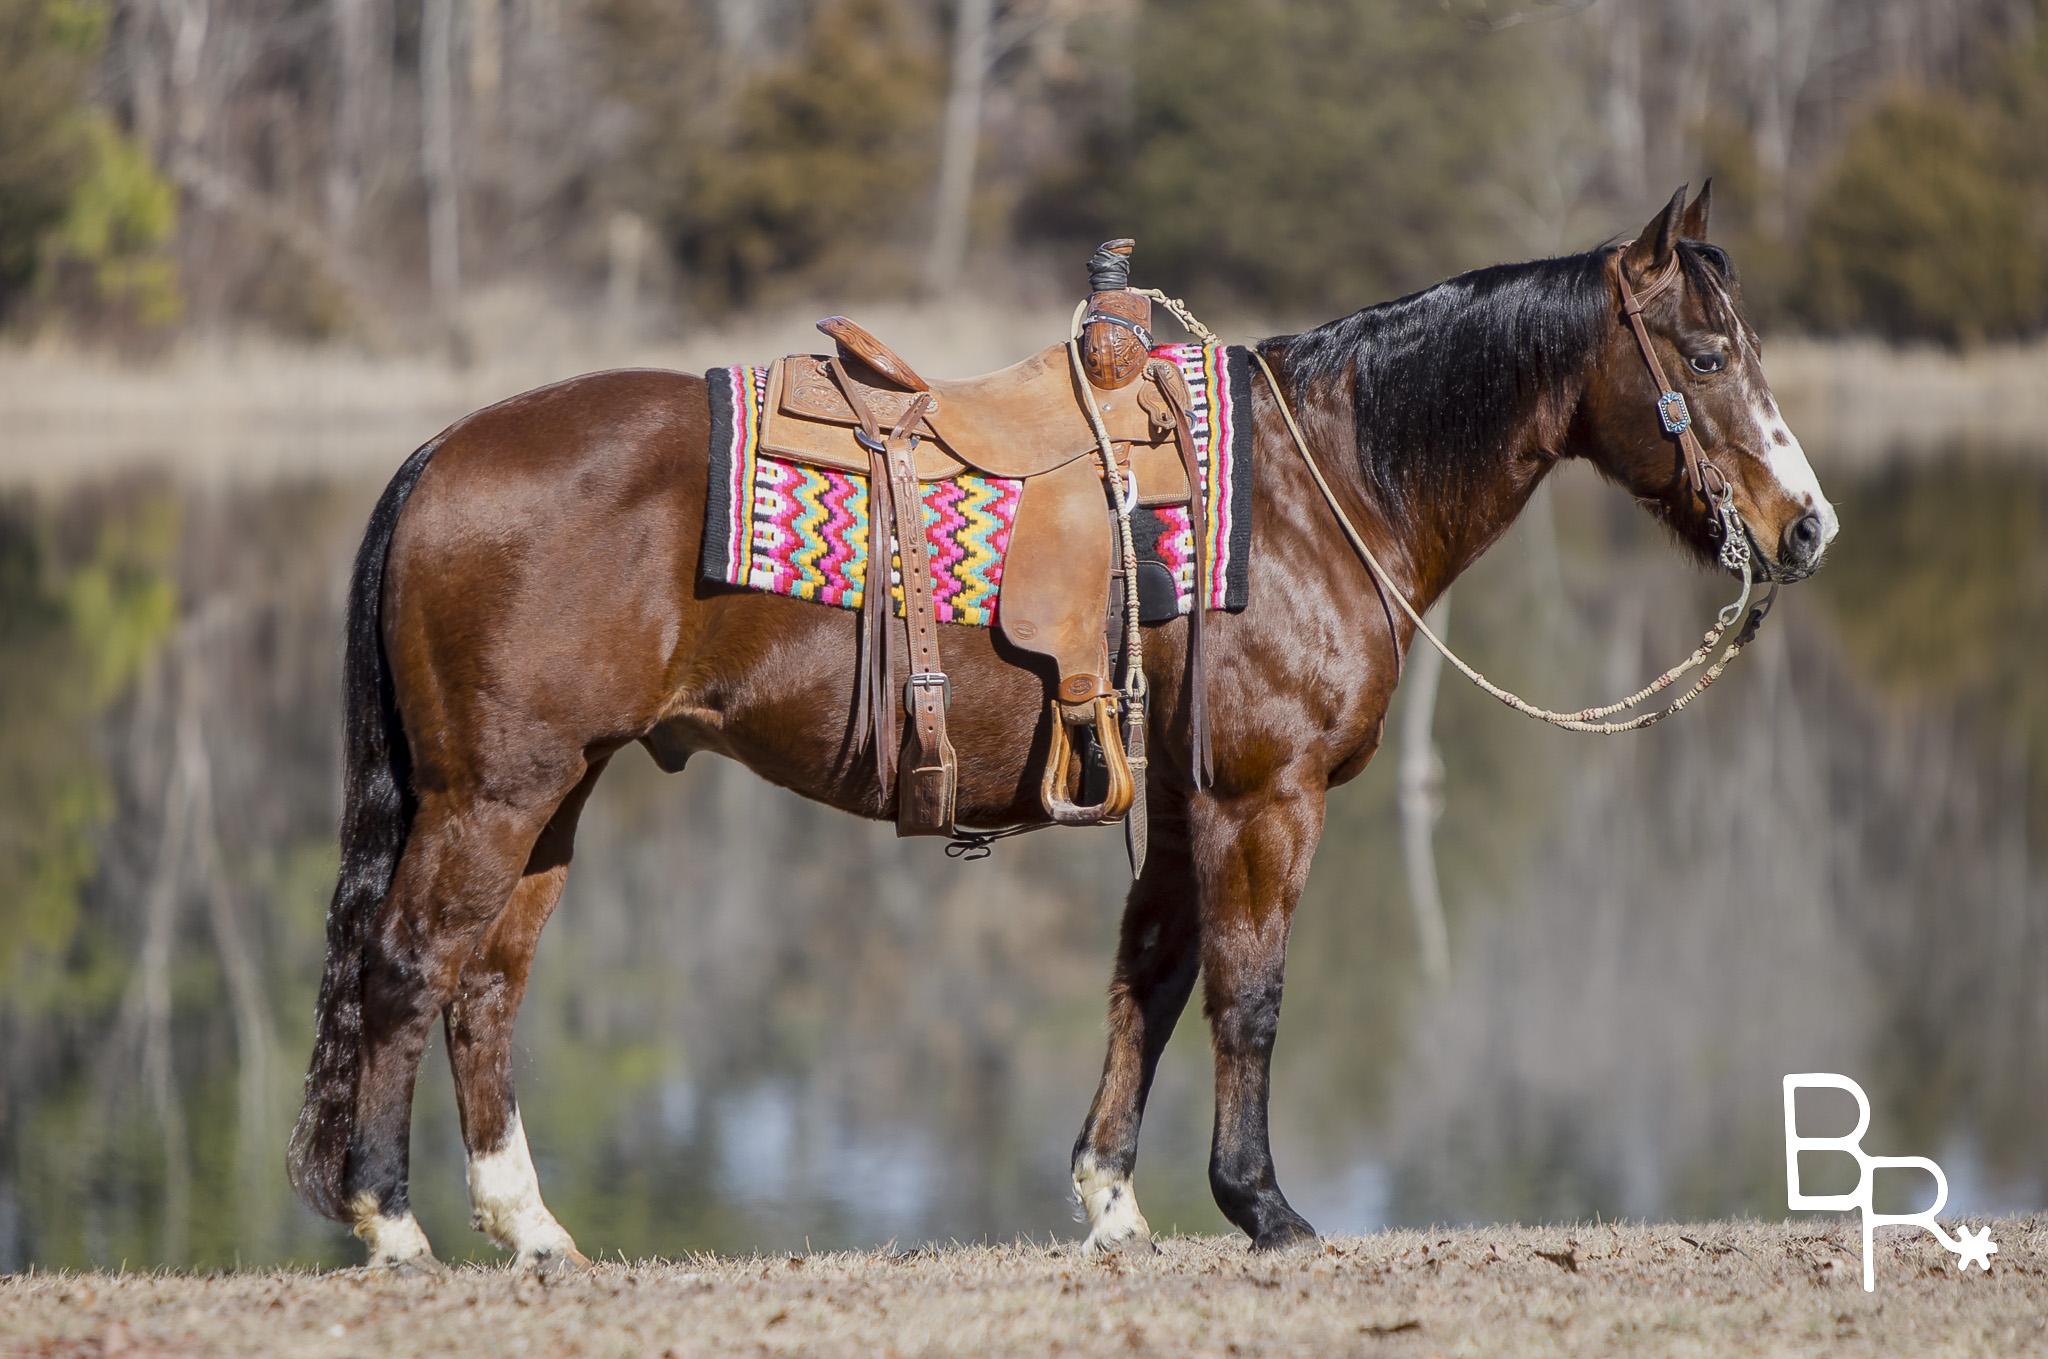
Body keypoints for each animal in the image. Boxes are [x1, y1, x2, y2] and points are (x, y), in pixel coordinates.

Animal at [286, 184, 1836, 1266]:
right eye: (1707, 354)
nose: (1804, 526)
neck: (1319, 484)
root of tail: (439, 452)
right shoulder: (1263, 798)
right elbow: (1248, 993)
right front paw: (1262, 1206)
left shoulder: (1182, 805)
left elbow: (1145, 981)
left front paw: (1109, 1200)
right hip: (491, 794)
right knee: (411, 967)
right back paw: (392, 1223)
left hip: (552, 794)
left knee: (487, 986)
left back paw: (528, 1226)